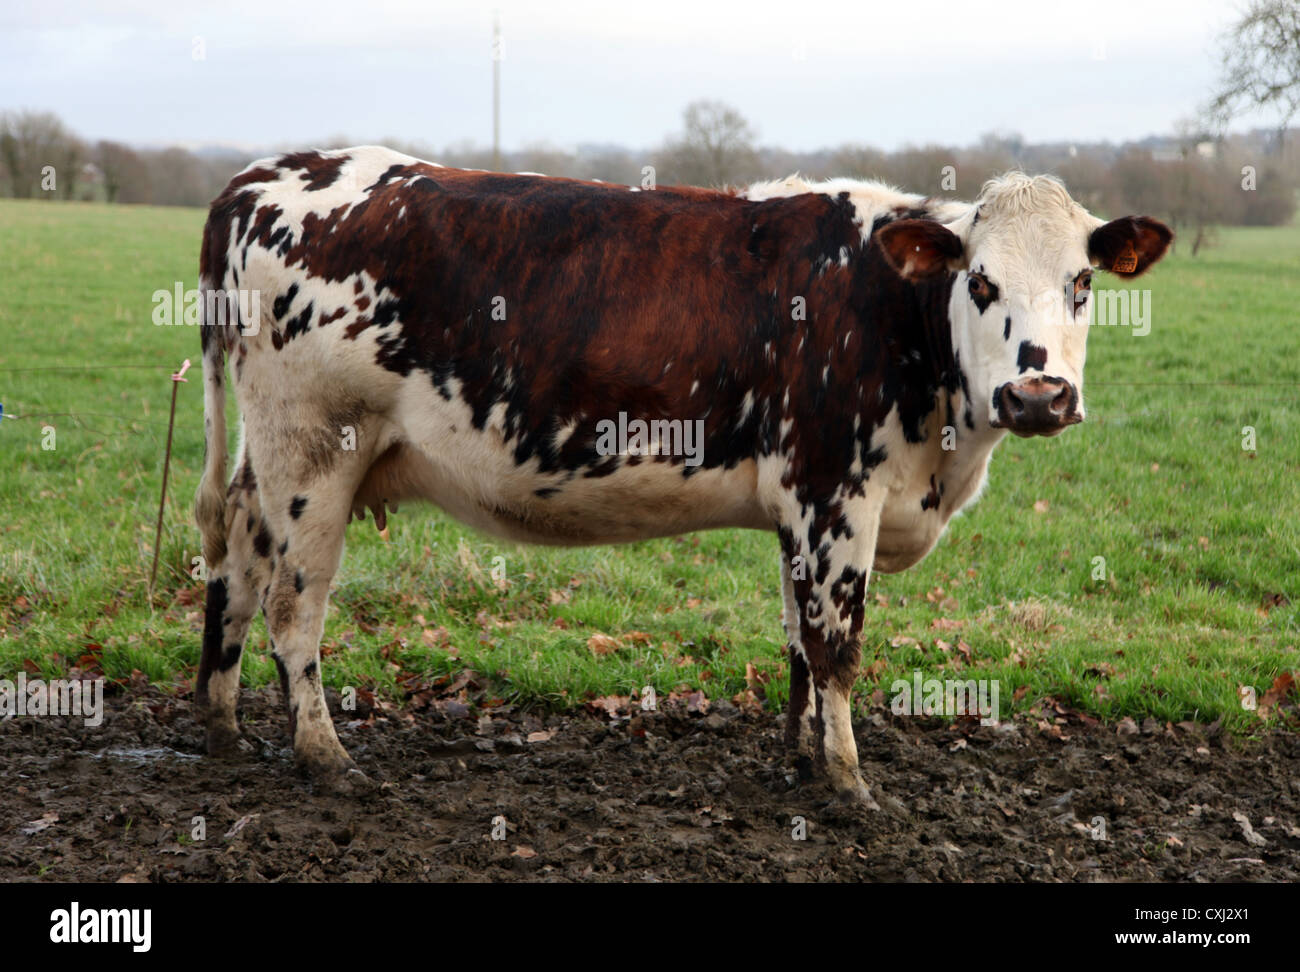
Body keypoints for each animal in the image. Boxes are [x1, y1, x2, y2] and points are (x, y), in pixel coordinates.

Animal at [194, 147, 1171, 803]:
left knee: (234, 560)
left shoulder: (799, 513)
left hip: (270, 458)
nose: (1039, 393)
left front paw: (798, 762)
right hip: (312, 453)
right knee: (292, 608)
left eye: (1083, 282)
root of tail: (262, 177)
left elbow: (797, 643)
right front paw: (849, 785)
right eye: (979, 281)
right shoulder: (835, 495)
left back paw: (224, 724)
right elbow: (837, 647)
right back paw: (325, 757)